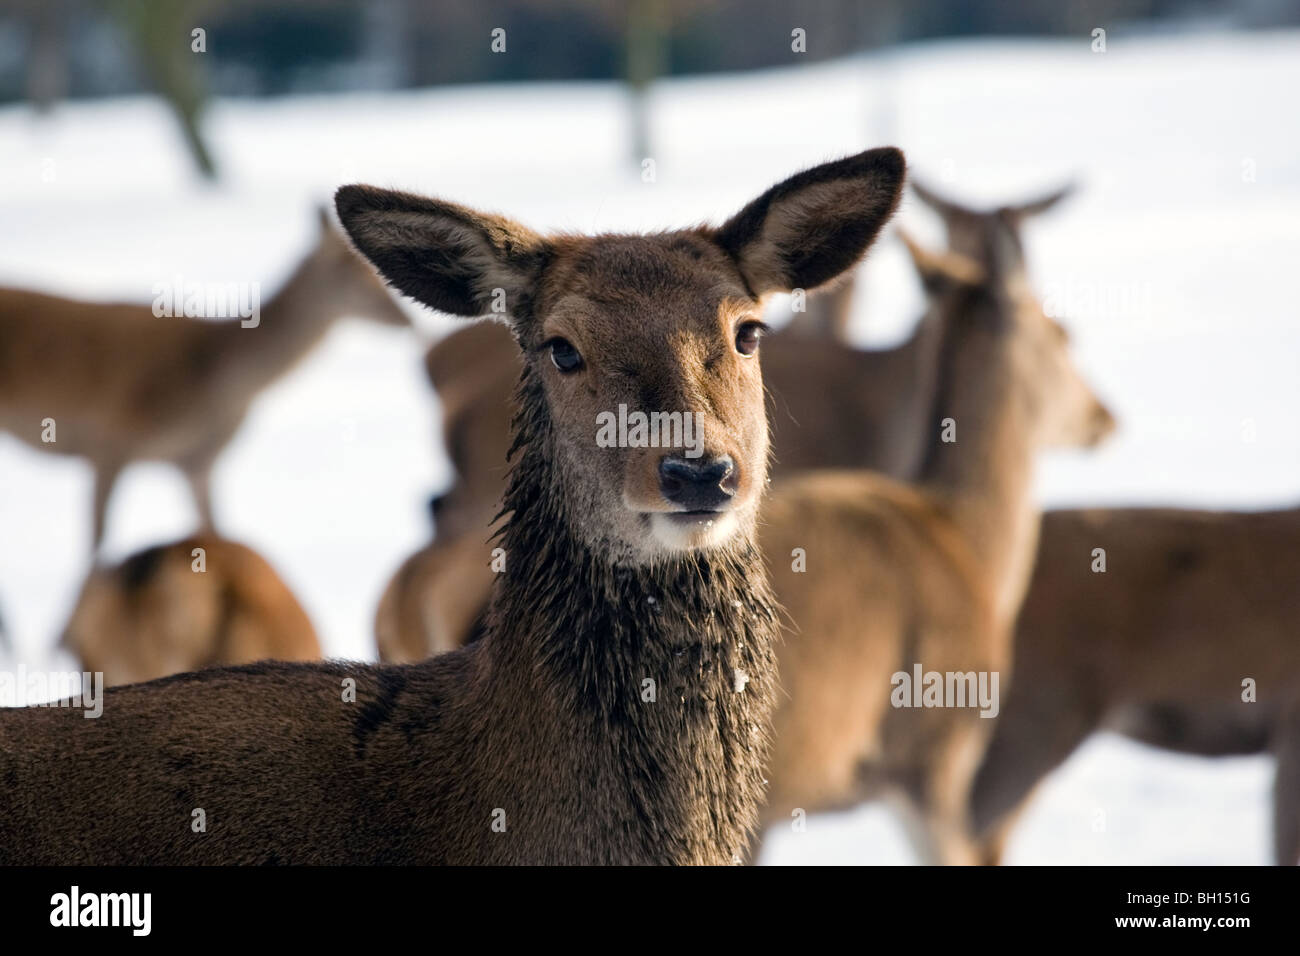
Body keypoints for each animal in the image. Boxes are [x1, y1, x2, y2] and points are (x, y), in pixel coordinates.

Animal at [0, 208, 411, 552]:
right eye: (347, 269)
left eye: (374, 270)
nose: (405, 320)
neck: (215, 384)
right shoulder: (111, 439)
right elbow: (97, 544)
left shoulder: (198, 463)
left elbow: (215, 532)